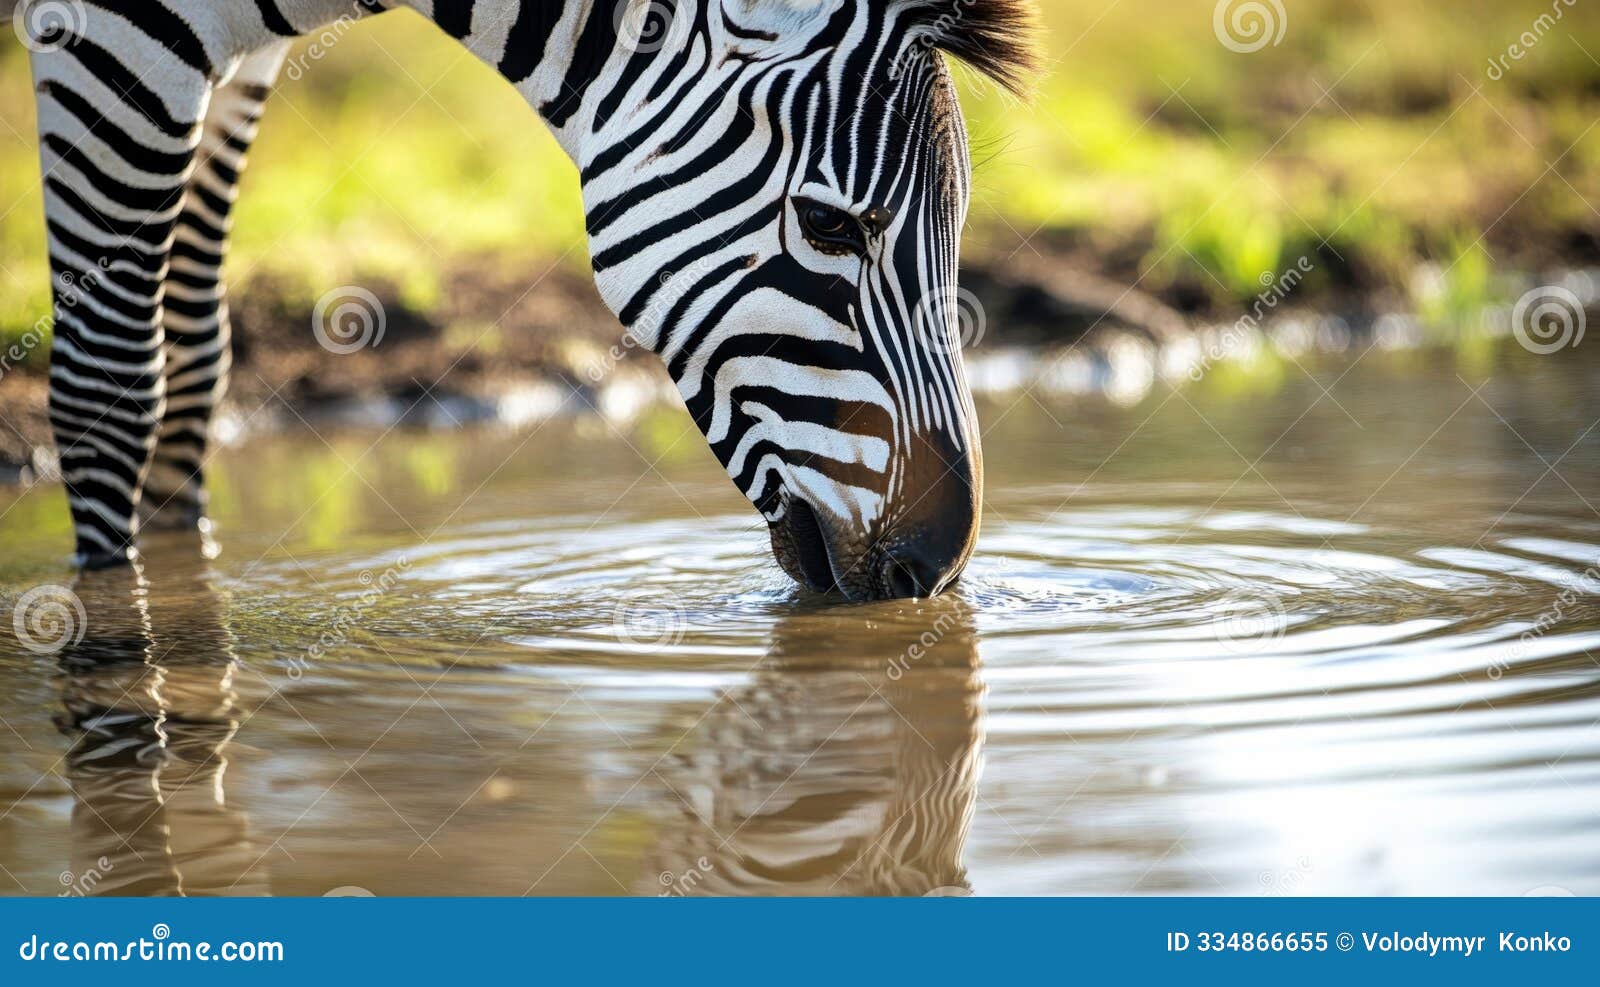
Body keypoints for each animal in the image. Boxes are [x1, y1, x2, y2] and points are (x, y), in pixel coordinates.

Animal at [10, 0, 1035, 601]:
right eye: (826, 223)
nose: (936, 569)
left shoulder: (232, 59)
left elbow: (191, 367)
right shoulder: (112, 36)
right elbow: (112, 383)